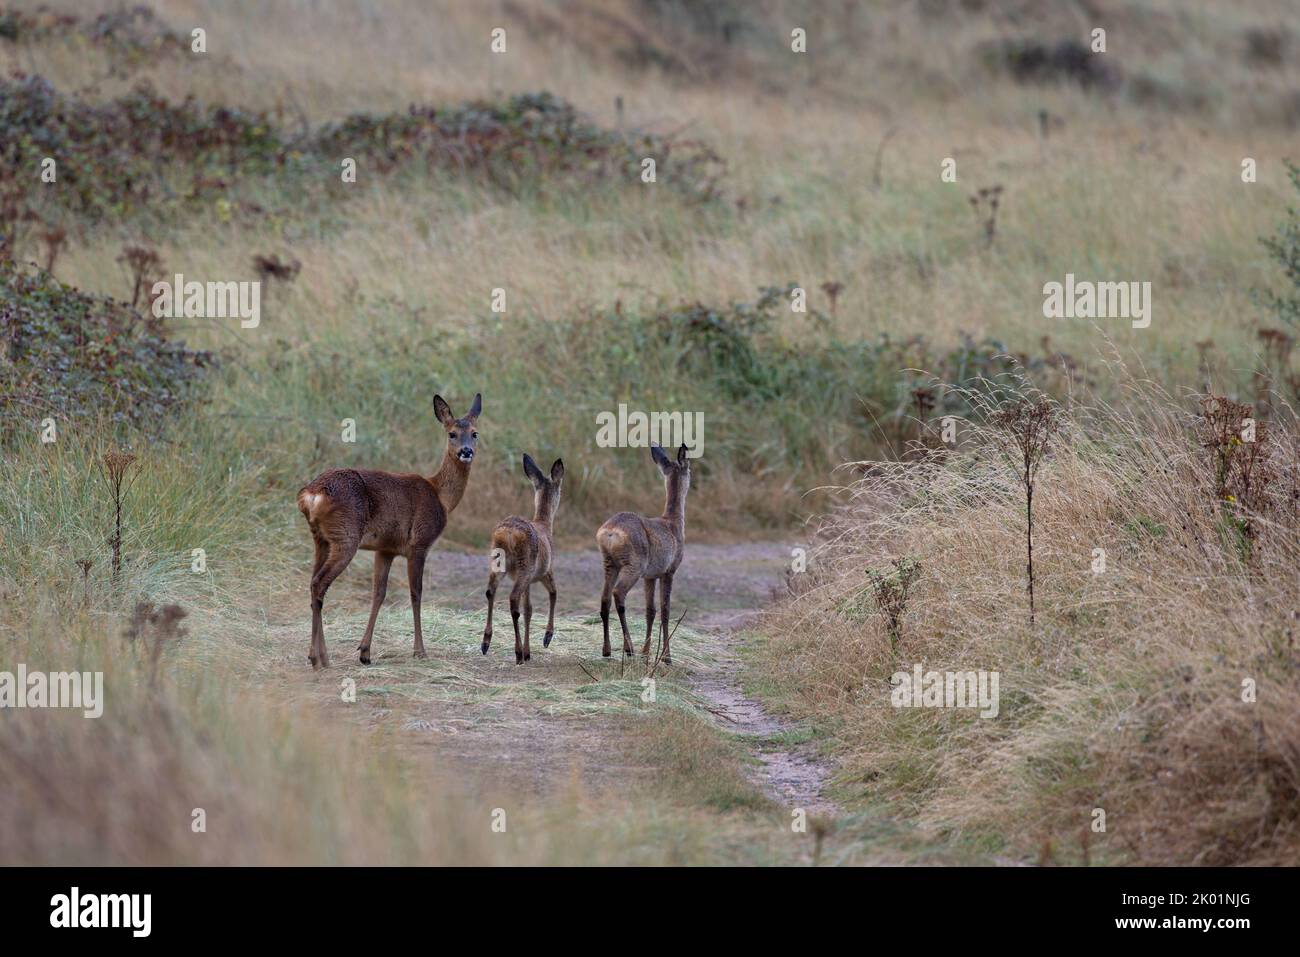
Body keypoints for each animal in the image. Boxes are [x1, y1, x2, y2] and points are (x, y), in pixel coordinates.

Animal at [295, 393, 481, 669]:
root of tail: (311, 494)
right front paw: (420, 651)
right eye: (452, 433)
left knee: (312, 583)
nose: (466, 451)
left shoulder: (385, 549)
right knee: (319, 584)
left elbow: (379, 594)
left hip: (321, 539)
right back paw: (320, 659)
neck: (441, 496)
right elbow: (416, 594)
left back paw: (317, 655)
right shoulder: (419, 544)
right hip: (345, 537)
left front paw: (365, 651)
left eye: (475, 433)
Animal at [481, 454, 564, 664]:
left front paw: (529, 651)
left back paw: (486, 643)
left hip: (497, 563)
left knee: (490, 591)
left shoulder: (531, 580)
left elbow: (529, 609)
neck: (545, 525)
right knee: (513, 600)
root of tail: (507, 534)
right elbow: (553, 594)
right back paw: (518, 652)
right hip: (525, 566)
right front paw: (545, 638)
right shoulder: (545, 570)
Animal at [596, 442, 691, 665]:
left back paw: (607, 650)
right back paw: (628, 648)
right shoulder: (669, 570)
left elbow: (650, 610)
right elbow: (665, 610)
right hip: (633, 564)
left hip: (609, 563)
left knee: (604, 598)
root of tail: (611, 532)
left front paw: (646, 652)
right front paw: (666, 656)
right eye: (689, 468)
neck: (673, 523)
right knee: (618, 593)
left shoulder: (651, 575)